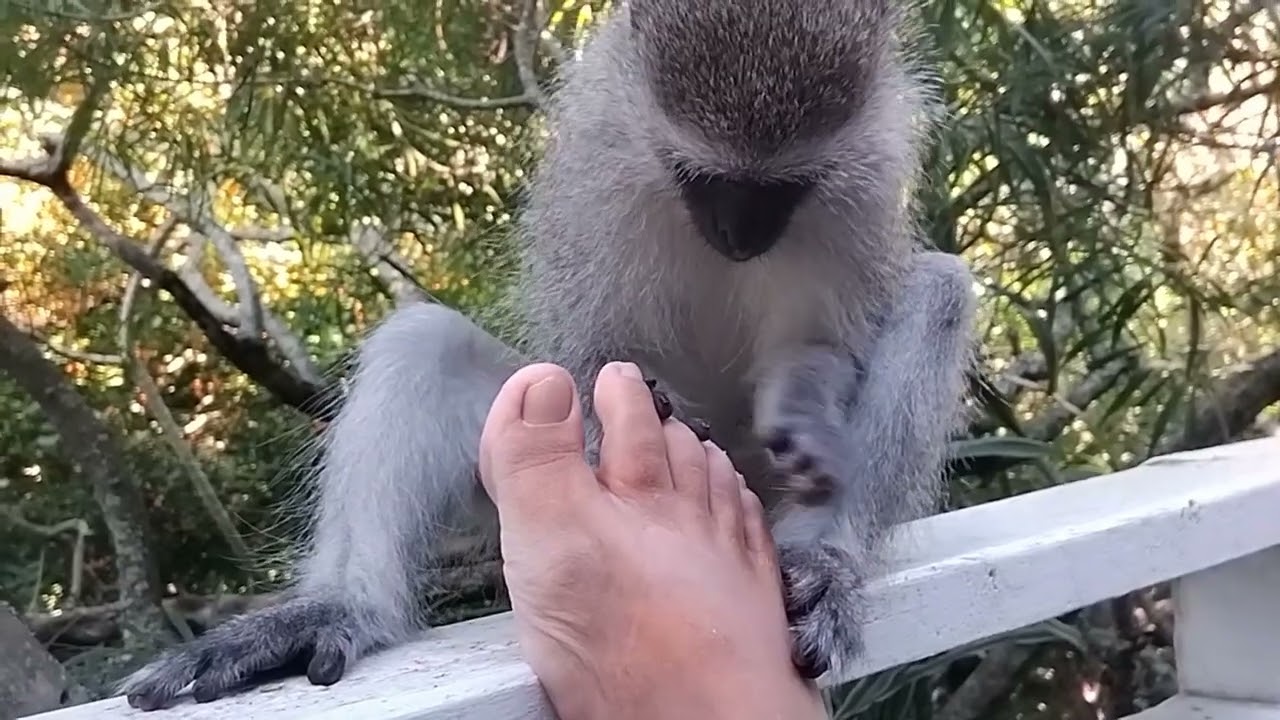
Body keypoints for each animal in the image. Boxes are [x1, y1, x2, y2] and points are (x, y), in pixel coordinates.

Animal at [119, 0, 977, 709]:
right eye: (701, 177)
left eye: (780, 189)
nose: (738, 237)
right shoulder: (598, 150)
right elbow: (593, 351)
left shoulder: (868, 171)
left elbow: (824, 343)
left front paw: (801, 409)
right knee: (420, 344)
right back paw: (340, 607)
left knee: (940, 291)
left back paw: (822, 558)